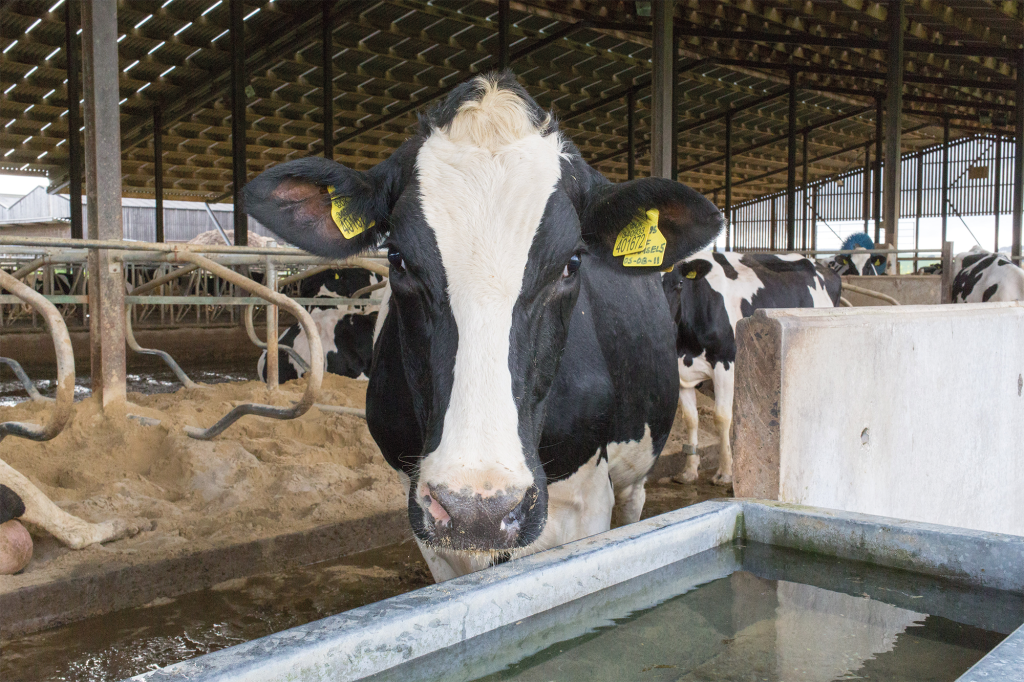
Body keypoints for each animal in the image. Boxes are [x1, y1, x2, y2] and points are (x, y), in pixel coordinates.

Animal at [662, 251, 840, 486]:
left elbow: (722, 417)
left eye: (680, 283)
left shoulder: (725, 363)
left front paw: (725, 472)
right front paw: (689, 471)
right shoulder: (682, 371)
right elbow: (690, 419)